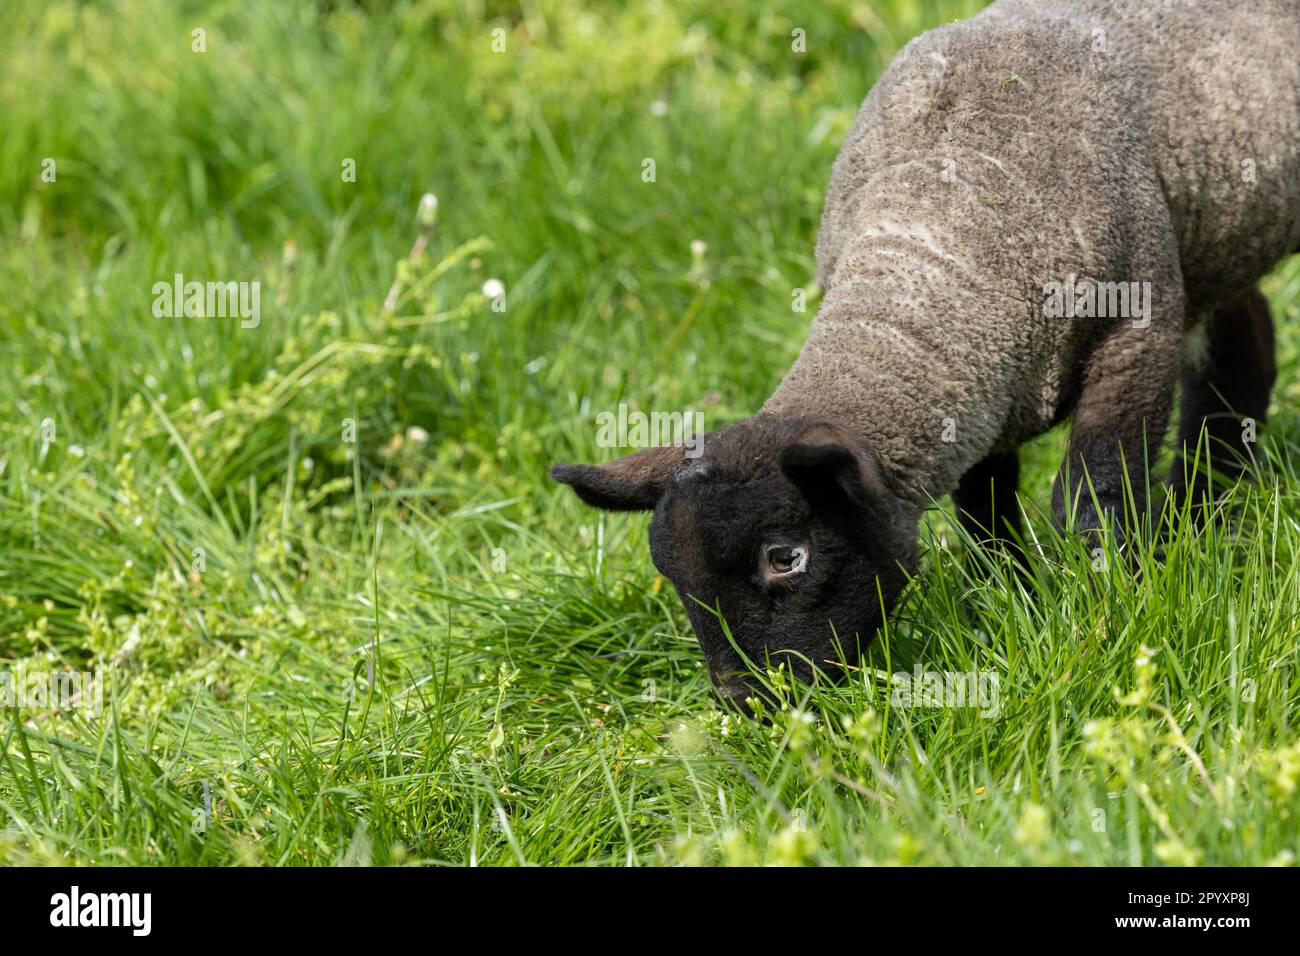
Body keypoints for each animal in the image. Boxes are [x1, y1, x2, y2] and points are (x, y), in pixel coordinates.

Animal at [552, 0, 1300, 708]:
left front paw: (1101, 601)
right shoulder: (991, 390)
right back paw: (1214, 502)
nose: (747, 703)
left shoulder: (1133, 337)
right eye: (675, 580)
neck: (940, 223)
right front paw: (1005, 600)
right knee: (1246, 344)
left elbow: (1094, 493)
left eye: (784, 556)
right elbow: (985, 513)